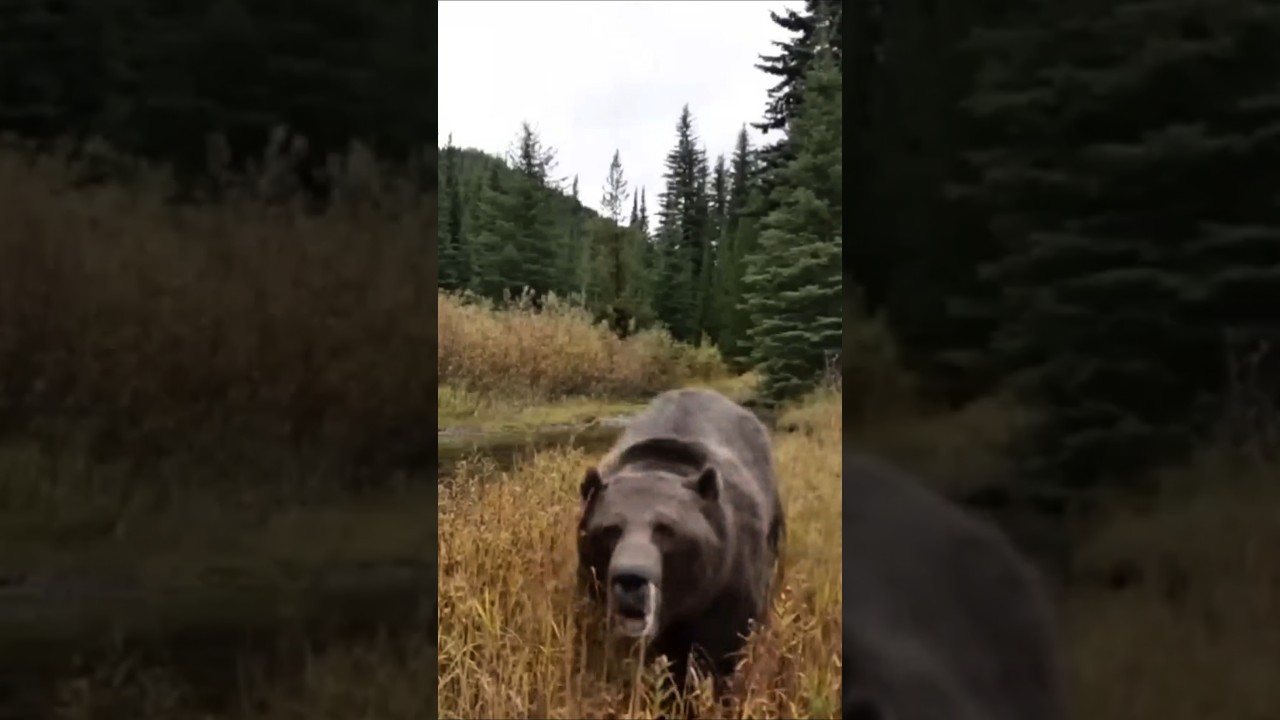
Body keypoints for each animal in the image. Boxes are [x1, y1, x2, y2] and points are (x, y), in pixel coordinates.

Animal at [576, 387, 785, 704]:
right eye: (611, 529)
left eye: (666, 528)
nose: (630, 579)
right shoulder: (593, 592)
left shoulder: (730, 584)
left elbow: (721, 652)